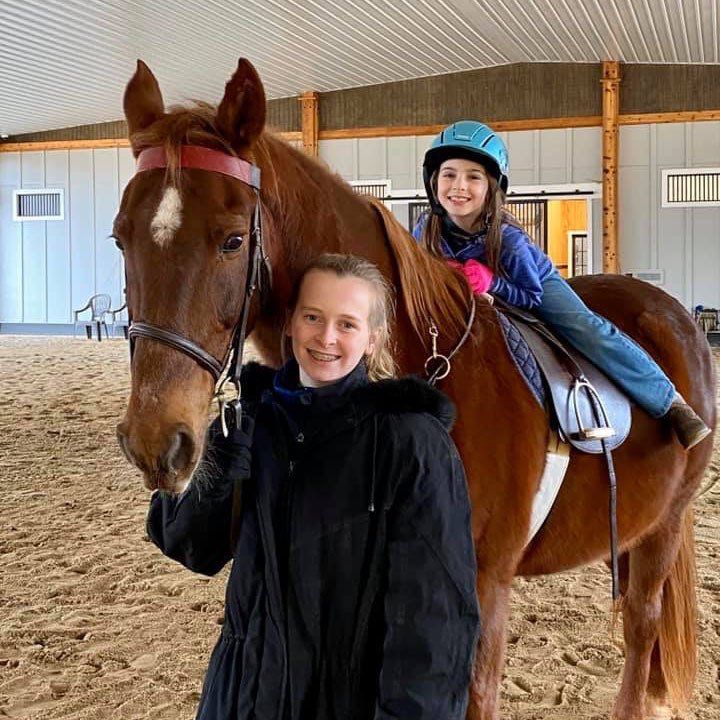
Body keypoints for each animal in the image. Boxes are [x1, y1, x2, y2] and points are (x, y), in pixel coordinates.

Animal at [115, 58, 716, 720]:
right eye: (120, 237)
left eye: (232, 240)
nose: (155, 441)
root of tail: (673, 314)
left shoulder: (481, 587)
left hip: (665, 526)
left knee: (641, 622)